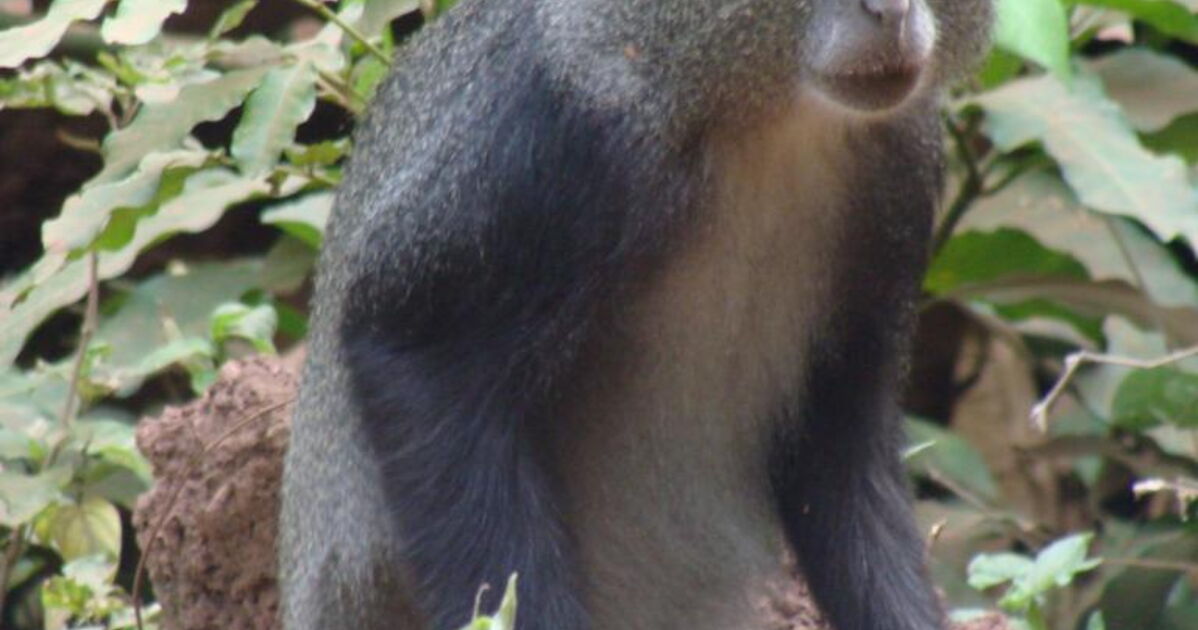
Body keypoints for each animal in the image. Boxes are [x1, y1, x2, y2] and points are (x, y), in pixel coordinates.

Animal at [279, 0, 992, 628]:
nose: (891, 10)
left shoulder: (899, 172)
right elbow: (415, 353)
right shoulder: (569, 136)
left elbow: (842, 457)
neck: (766, 119)